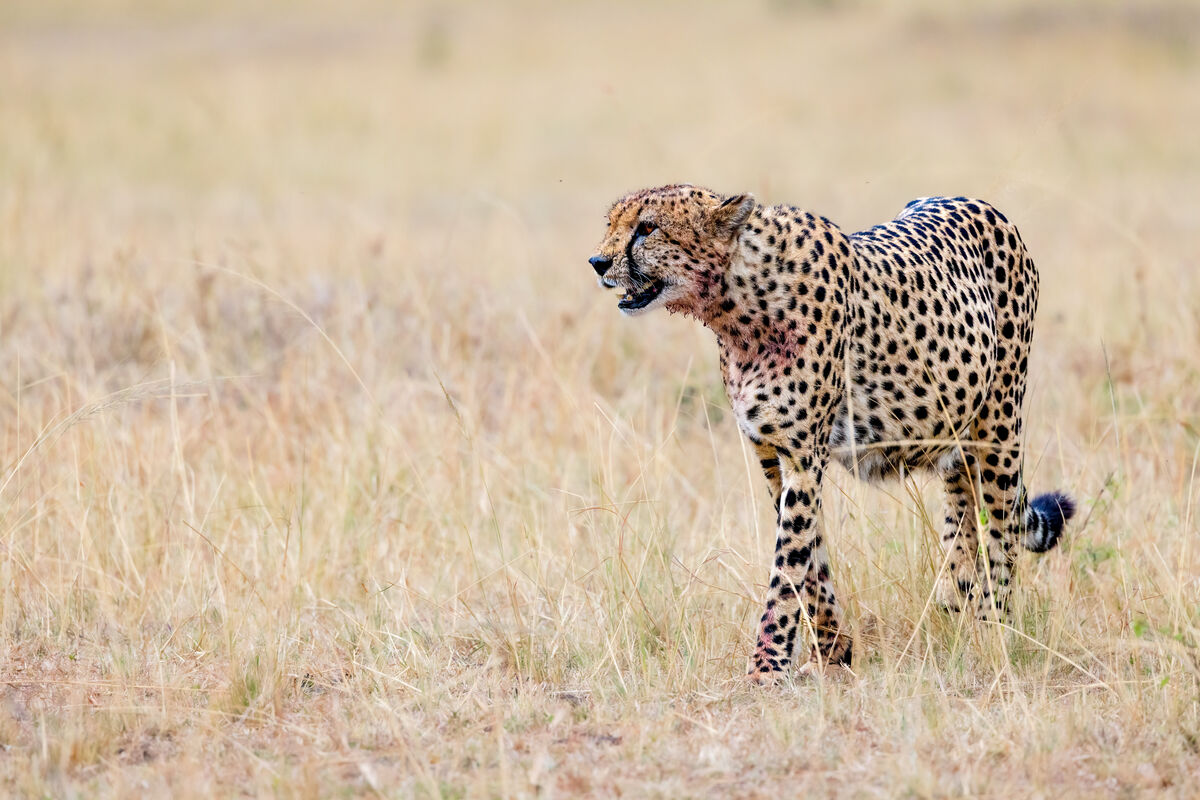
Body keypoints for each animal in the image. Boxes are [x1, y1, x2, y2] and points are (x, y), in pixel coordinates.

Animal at [588, 184, 1075, 683]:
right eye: (611, 224)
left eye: (647, 228)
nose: (598, 262)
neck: (738, 304)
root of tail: (972, 200)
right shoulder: (773, 456)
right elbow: (810, 558)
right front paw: (831, 650)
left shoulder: (803, 455)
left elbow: (787, 565)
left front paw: (767, 667)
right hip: (956, 426)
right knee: (963, 511)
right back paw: (956, 598)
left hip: (999, 423)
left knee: (1002, 529)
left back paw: (996, 633)